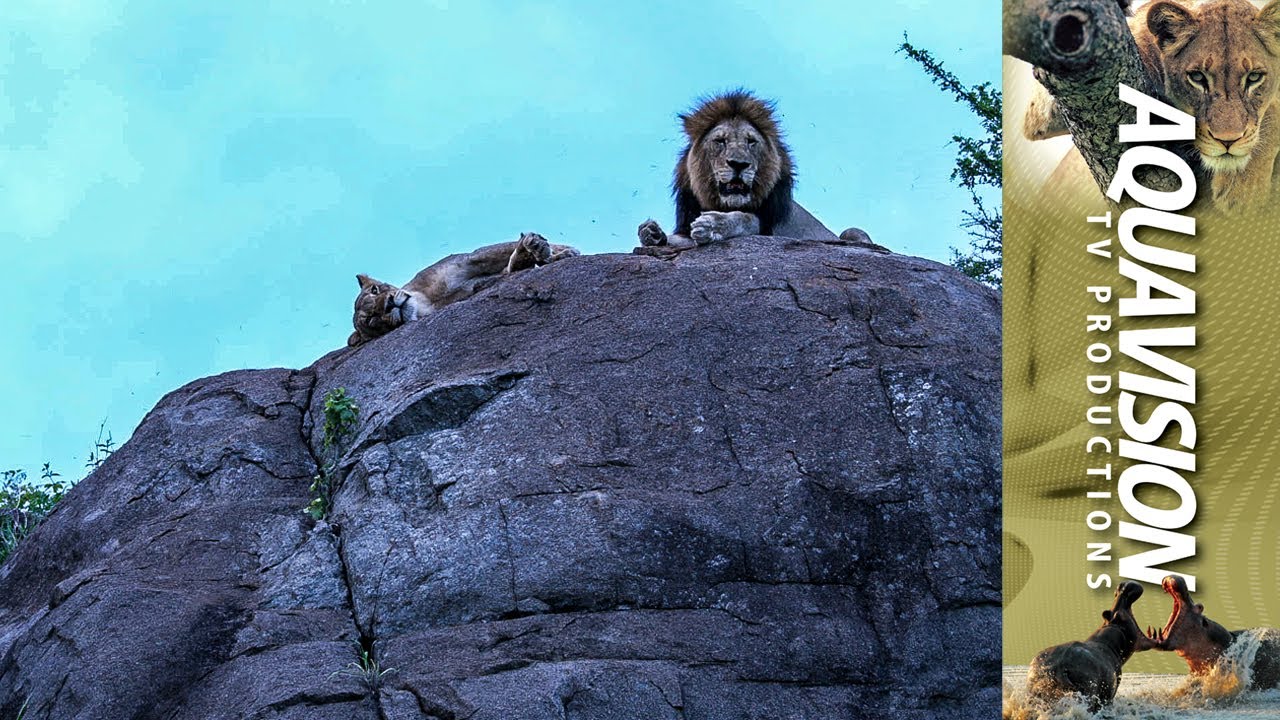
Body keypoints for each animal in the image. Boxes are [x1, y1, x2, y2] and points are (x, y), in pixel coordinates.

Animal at [347, 232, 578, 347]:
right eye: (372, 320)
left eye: (375, 290)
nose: (389, 304)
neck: (426, 301)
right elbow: (513, 267)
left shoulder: (468, 260)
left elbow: (505, 250)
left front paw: (552, 250)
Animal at [636, 89, 795, 255]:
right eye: (720, 141)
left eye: (751, 141)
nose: (738, 164)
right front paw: (651, 232)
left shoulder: (768, 225)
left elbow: (745, 219)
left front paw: (712, 225)